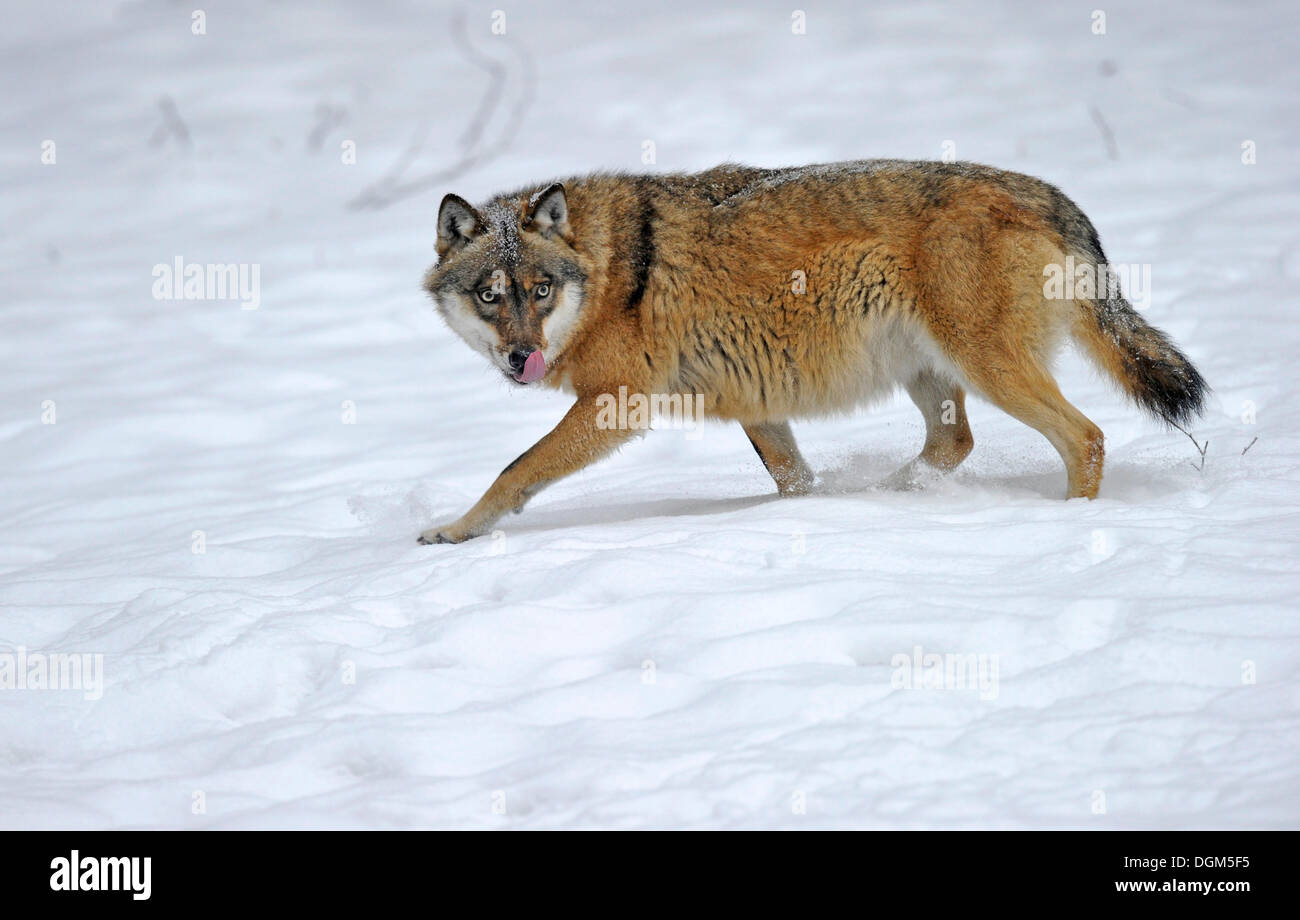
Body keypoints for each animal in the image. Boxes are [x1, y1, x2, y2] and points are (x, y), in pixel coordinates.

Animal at [418, 161, 1206, 544]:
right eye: (490, 295)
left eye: (540, 289)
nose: (522, 358)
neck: (613, 270)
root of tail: (1051, 196)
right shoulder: (753, 400)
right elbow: (793, 481)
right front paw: (813, 514)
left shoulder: (616, 403)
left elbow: (515, 470)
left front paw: (454, 531)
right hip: (929, 370)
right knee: (954, 443)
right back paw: (891, 494)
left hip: (989, 369)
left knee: (1088, 437)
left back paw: (1072, 524)